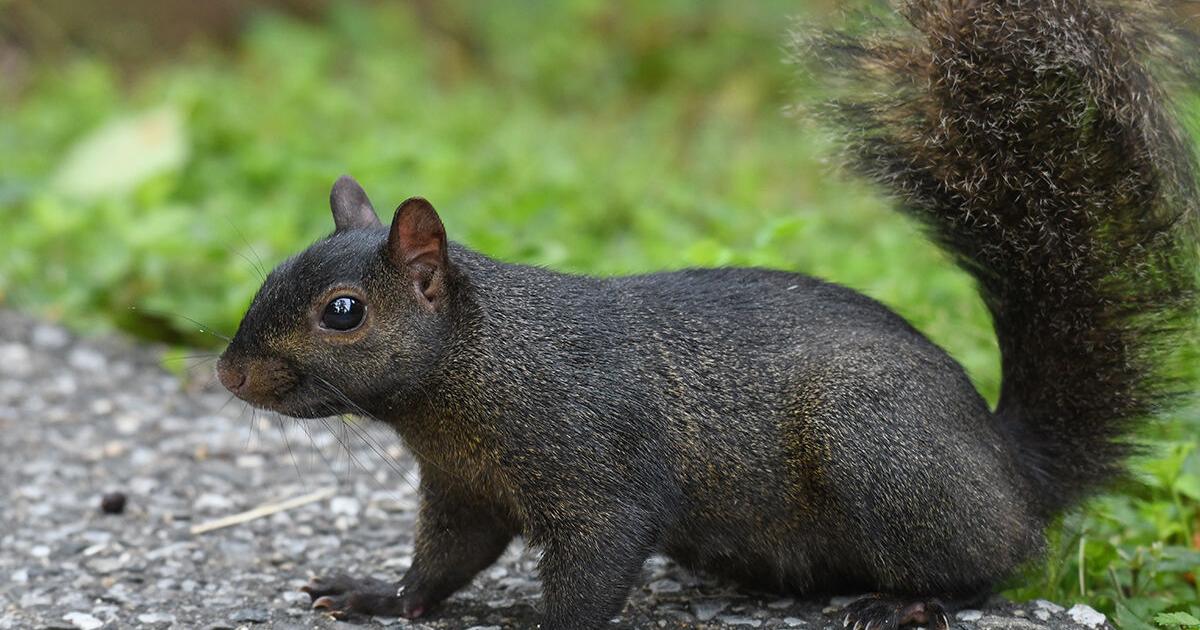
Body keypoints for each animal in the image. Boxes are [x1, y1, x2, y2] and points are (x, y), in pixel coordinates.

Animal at [215, 1, 1199, 629]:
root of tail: (1010, 465)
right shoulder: (464, 487)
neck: (471, 374)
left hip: (882, 445)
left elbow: (593, 569)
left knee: (992, 563)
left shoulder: (597, 471)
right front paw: (379, 596)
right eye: (272, 273)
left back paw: (905, 602)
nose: (227, 373)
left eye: (343, 312)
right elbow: (444, 561)